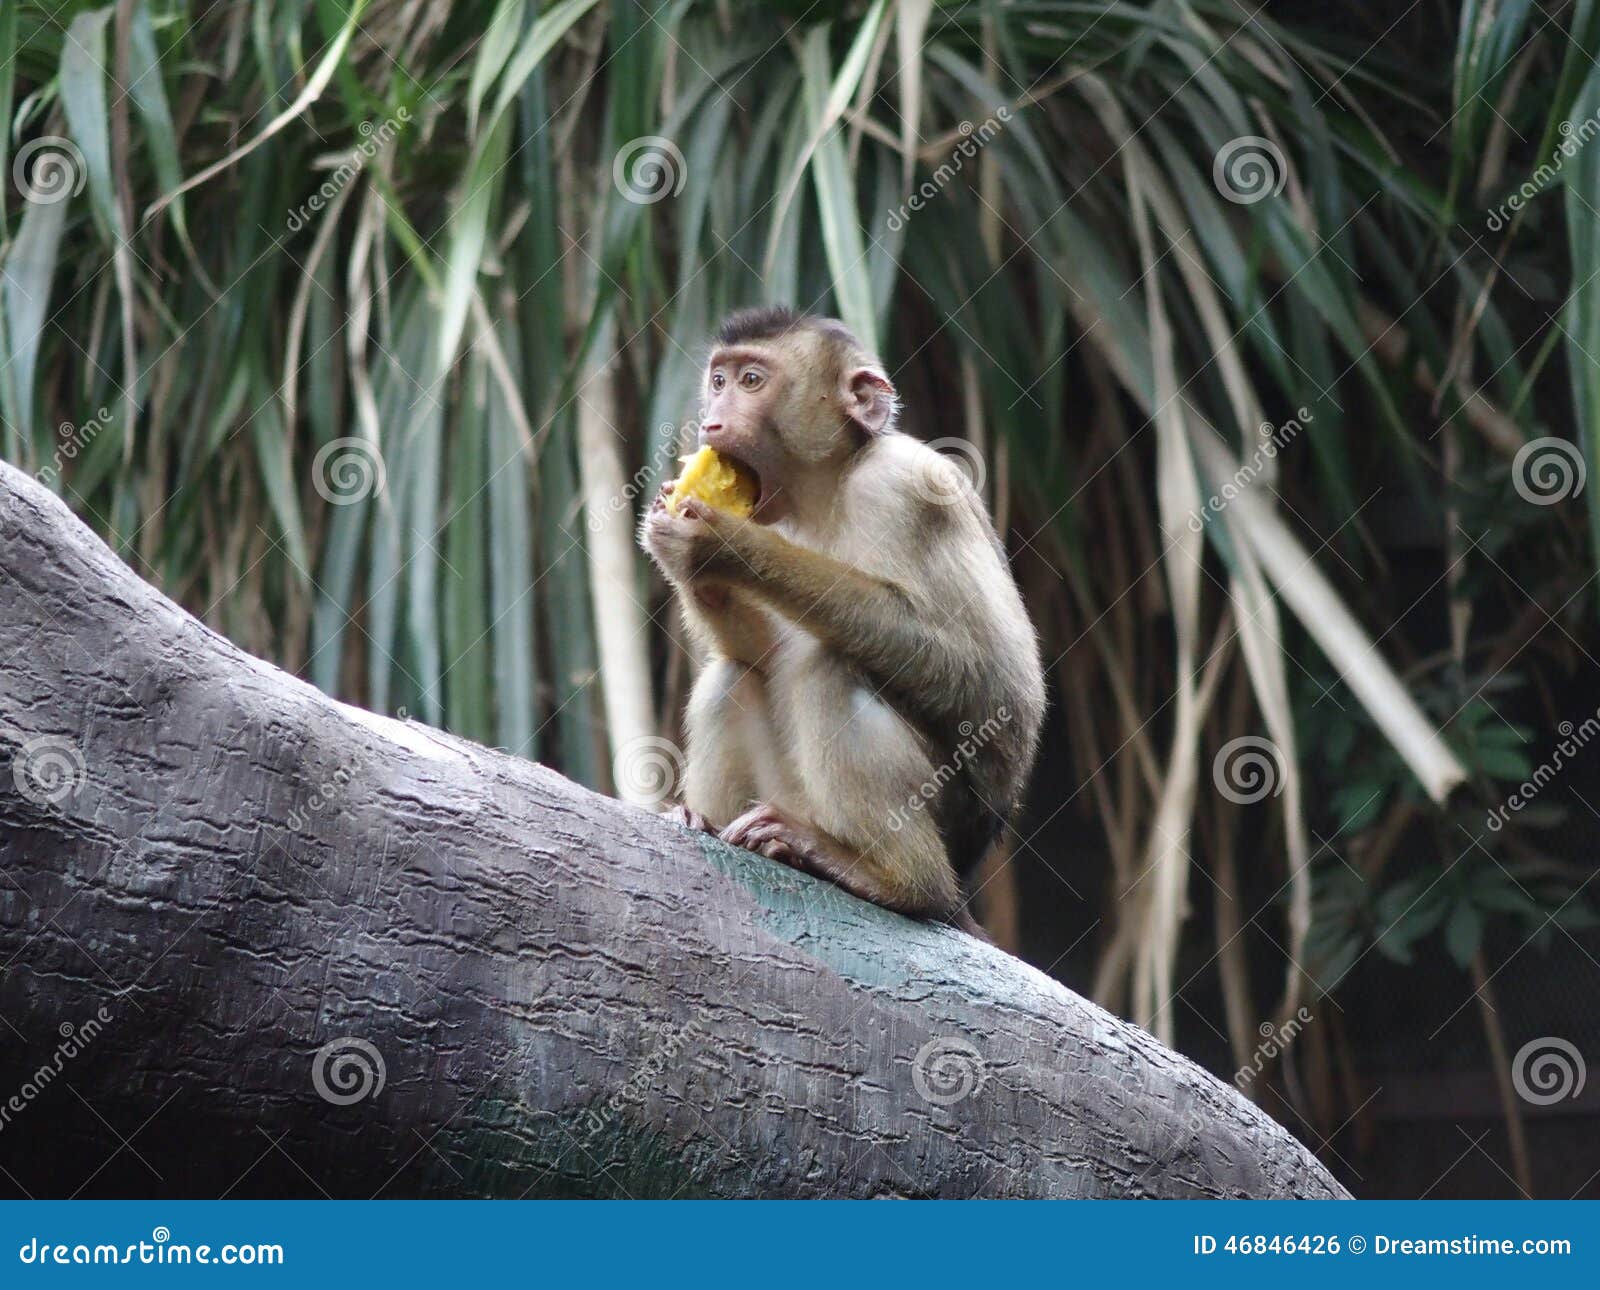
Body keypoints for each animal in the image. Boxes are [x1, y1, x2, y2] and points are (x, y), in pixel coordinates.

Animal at [639, 305, 1045, 934]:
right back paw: (707, 824)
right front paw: (685, 551)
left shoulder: (905, 487)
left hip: (944, 819)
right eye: (718, 381)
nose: (711, 422)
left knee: (829, 668)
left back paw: (902, 883)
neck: (826, 484)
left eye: (751, 381)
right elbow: (756, 653)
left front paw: (720, 545)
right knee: (732, 677)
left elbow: (992, 682)